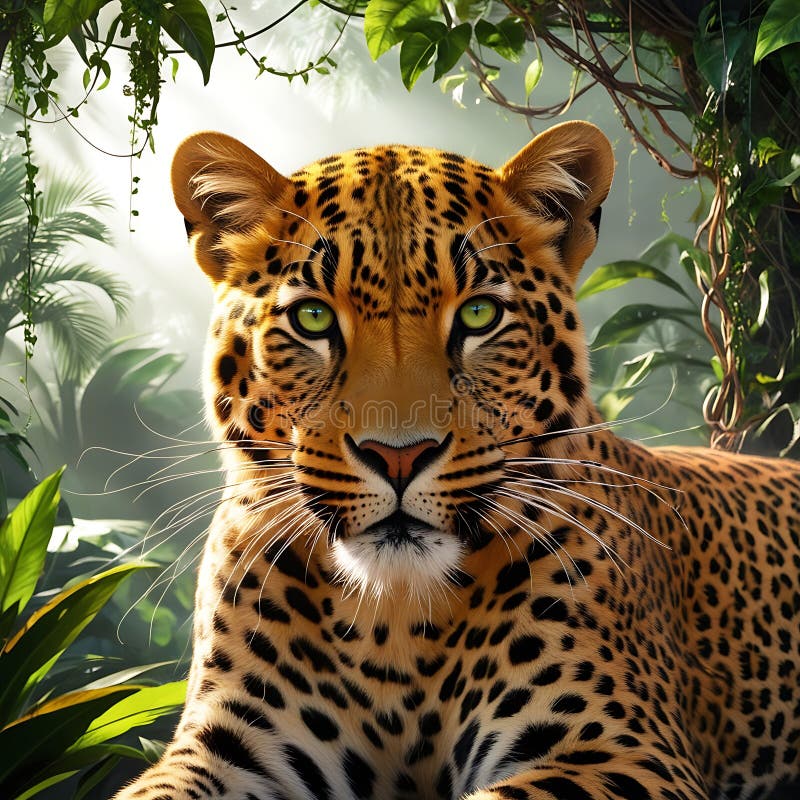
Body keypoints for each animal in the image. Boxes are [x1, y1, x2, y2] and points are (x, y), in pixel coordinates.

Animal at [114, 121, 800, 800]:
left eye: (478, 313)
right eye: (312, 317)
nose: (398, 456)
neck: (393, 626)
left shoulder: (623, 750)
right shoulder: (227, 743)